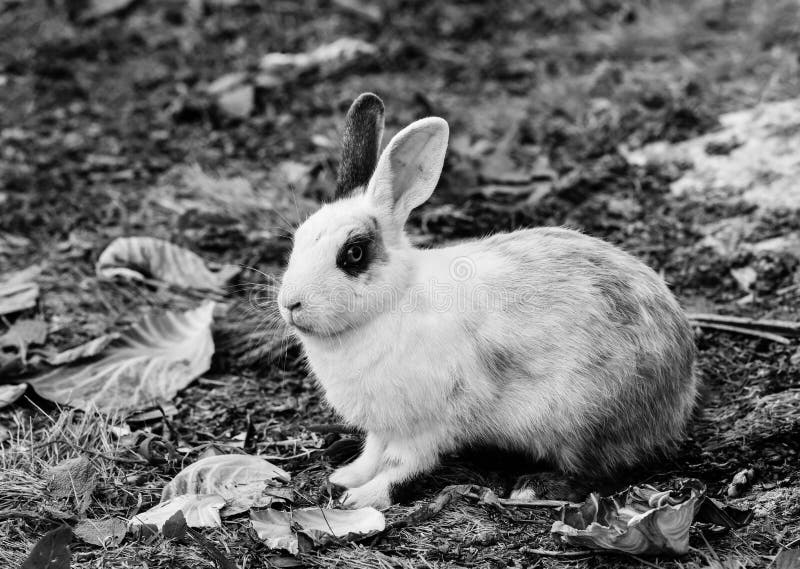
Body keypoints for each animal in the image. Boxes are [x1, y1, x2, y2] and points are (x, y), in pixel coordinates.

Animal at [277, 93, 698, 509]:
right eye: (297, 239)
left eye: (354, 254)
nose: (290, 304)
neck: (391, 301)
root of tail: (680, 389)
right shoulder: (383, 427)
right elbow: (371, 452)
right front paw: (346, 476)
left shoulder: (426, 427)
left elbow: (403, 467)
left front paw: (362, 497)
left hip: (583, 418)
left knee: (600, 471)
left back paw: (533, 487)